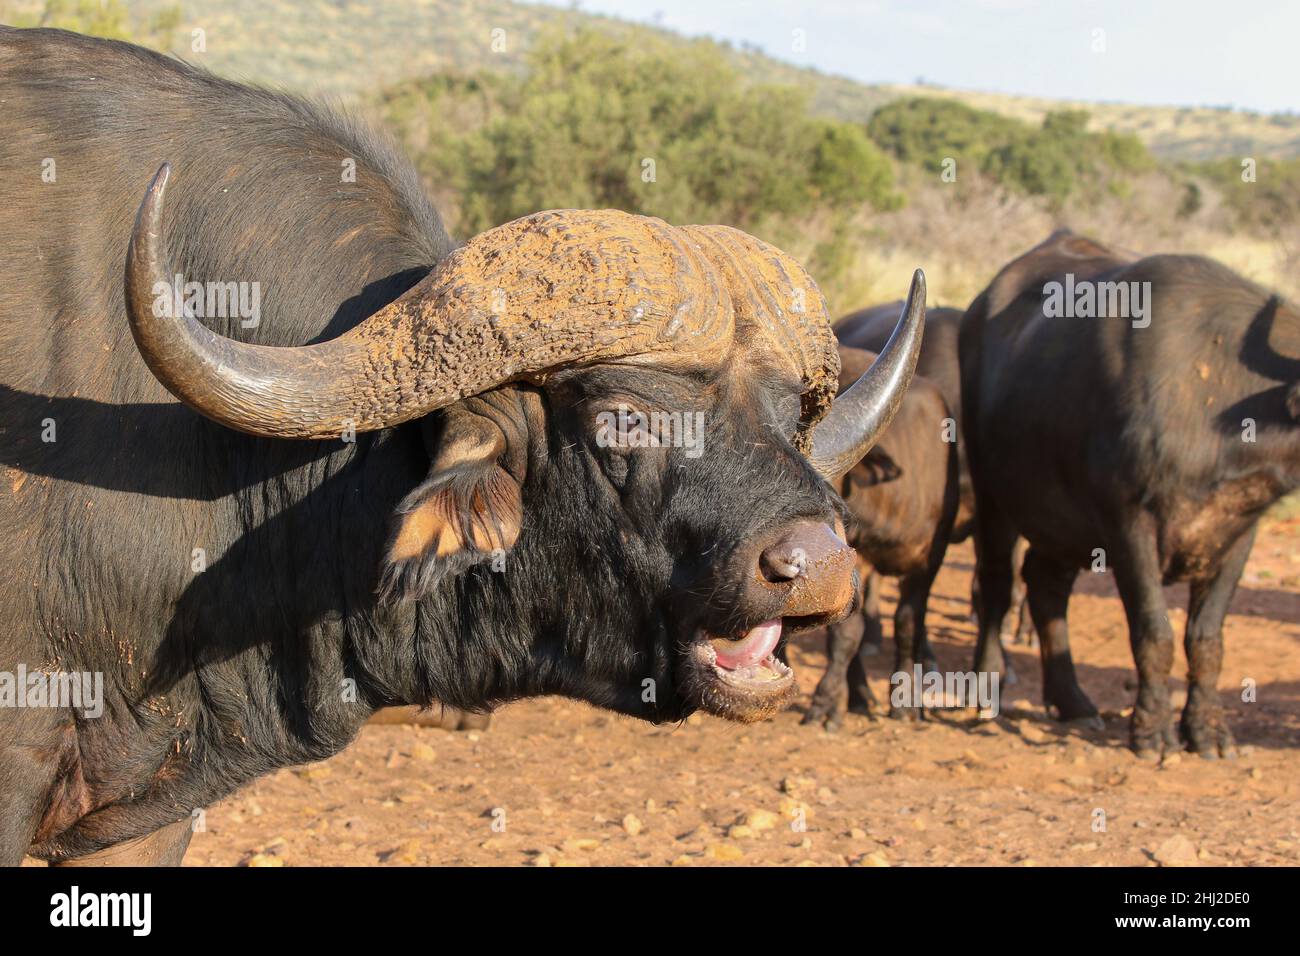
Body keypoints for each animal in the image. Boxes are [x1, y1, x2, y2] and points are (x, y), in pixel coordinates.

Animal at [960, 229, 1300, 758]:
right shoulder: (1128, 524)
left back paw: (1072, 700)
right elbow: (1153, 632)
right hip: (994, 494)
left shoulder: (1238, 533)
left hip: (1060, 518)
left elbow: (1207, 638)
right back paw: (987, 685)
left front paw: (1208, 731)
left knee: (1045, 584)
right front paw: (1153, 731)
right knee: (996, 582)